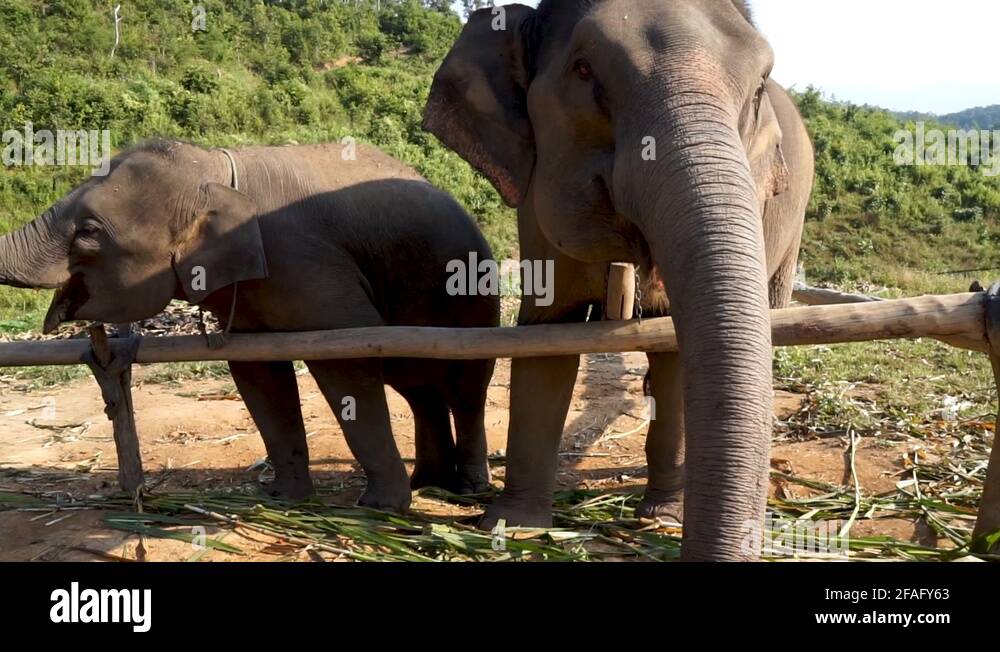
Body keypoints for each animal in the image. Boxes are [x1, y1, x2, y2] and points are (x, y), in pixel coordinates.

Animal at [0, 140, 500, 511]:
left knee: (465, 384)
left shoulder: (308, 263)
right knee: (416, 383)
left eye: (88, 232)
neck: (215, 169)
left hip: (474, 286)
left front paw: (379, 509)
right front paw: (283, 499)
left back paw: (468, 490)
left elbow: (348, 362)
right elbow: (257, 372)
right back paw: (428, 483)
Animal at [423, 0, 814, 560]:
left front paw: (665, 516)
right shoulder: (536, 205)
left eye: (759, 86)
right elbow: (547, 340)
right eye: (583, 70)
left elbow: (674, 349)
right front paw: (511, 525)